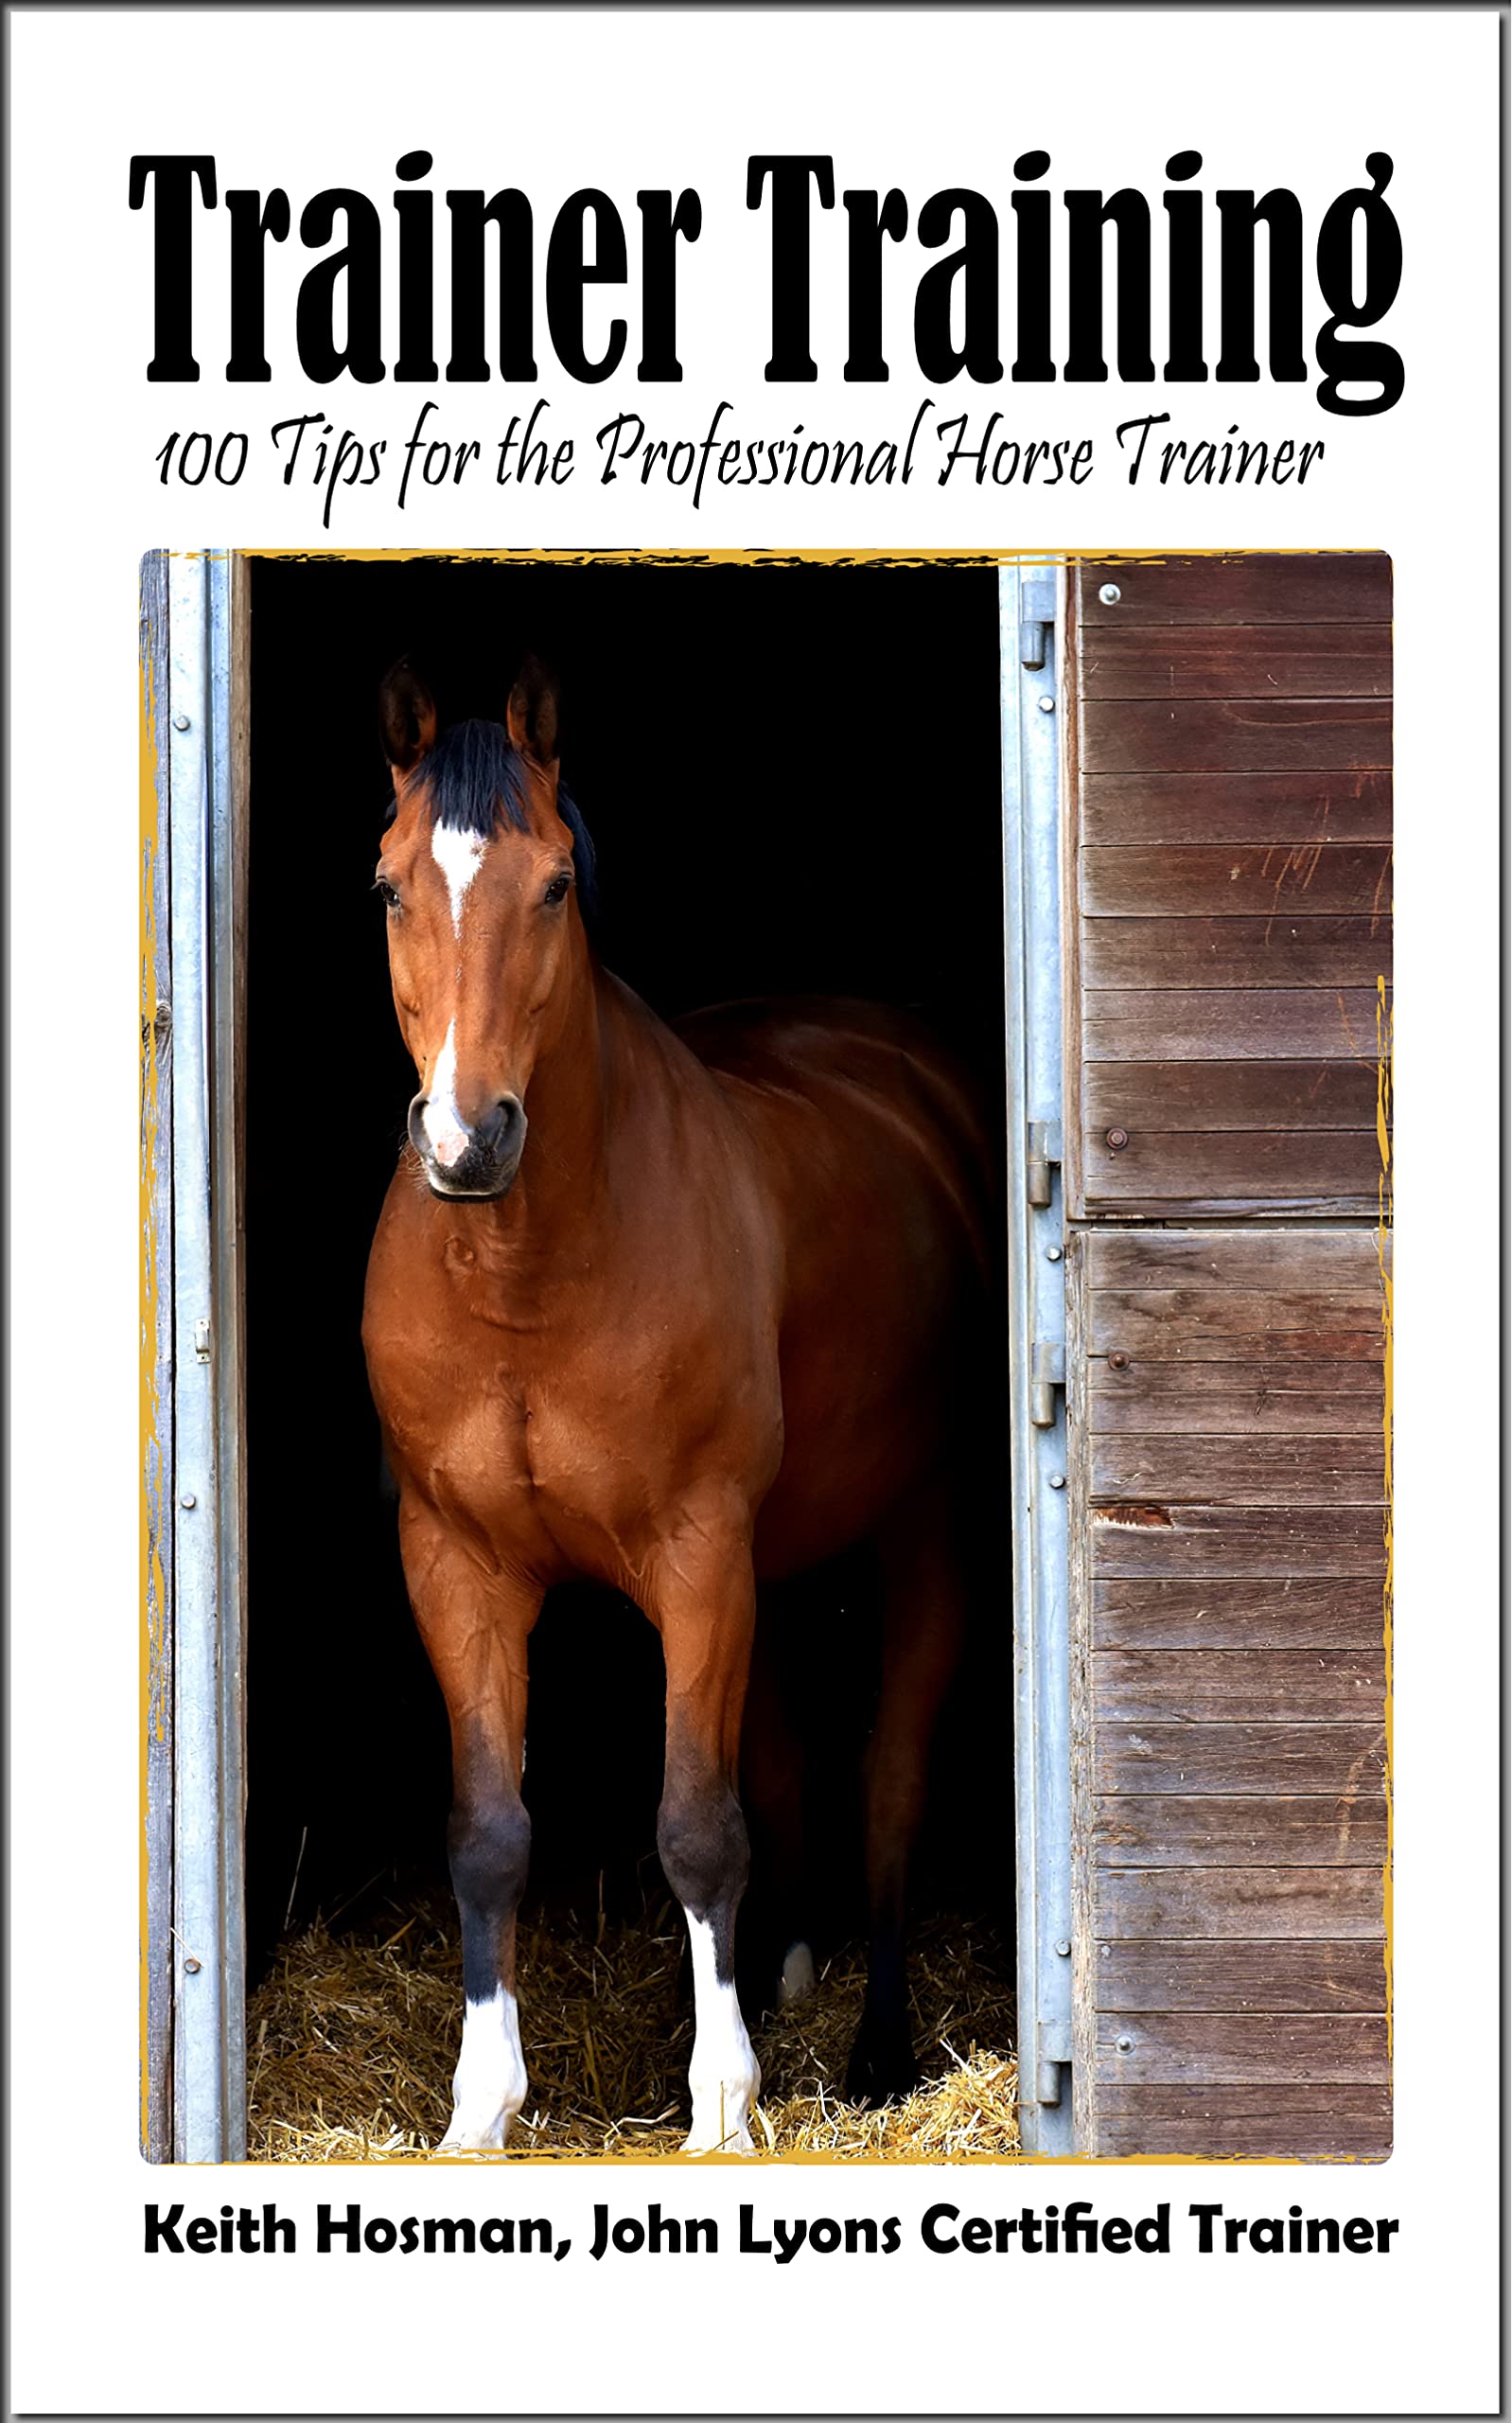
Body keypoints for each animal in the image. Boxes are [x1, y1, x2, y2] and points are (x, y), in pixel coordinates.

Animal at [361, 653, 998, 2153]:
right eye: (389, 885)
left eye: (552, 886)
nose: (467, 1140)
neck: (527, 1279)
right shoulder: (455, 1565)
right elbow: (489, 1832)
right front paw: (481, 2107)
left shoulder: (699, 1555)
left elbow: (698, 1828)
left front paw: (720, 2109)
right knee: (789, 1765)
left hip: (920, 1533)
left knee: (887, 1781)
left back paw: (875, 2050)